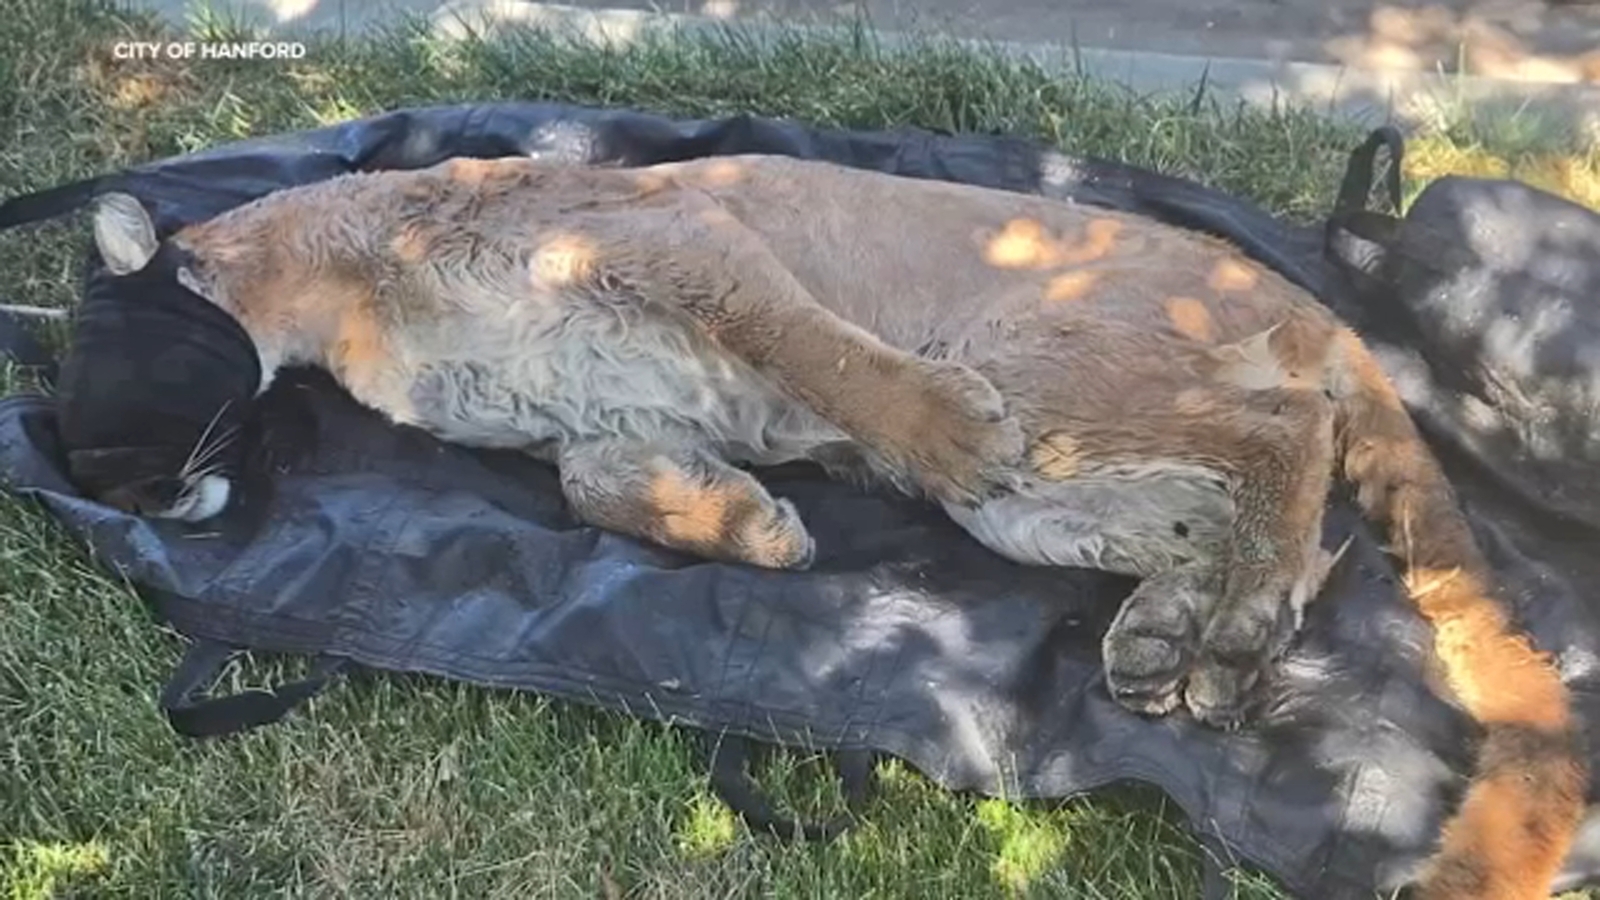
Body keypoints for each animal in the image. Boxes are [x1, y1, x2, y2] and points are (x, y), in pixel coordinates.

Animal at [79, 152, 1583, 898]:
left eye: (89, 395)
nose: (131, 501)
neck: (339, 290)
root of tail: (1287, 286)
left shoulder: (685, 246)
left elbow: (819, 350)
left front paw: (920, 430)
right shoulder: (586, 414)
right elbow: (597, 491)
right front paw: (756, 531)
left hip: (1045, 371)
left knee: (1284, 436)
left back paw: (1225, 638)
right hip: (1044, 504)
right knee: (1238, 509)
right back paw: (1174, 641)